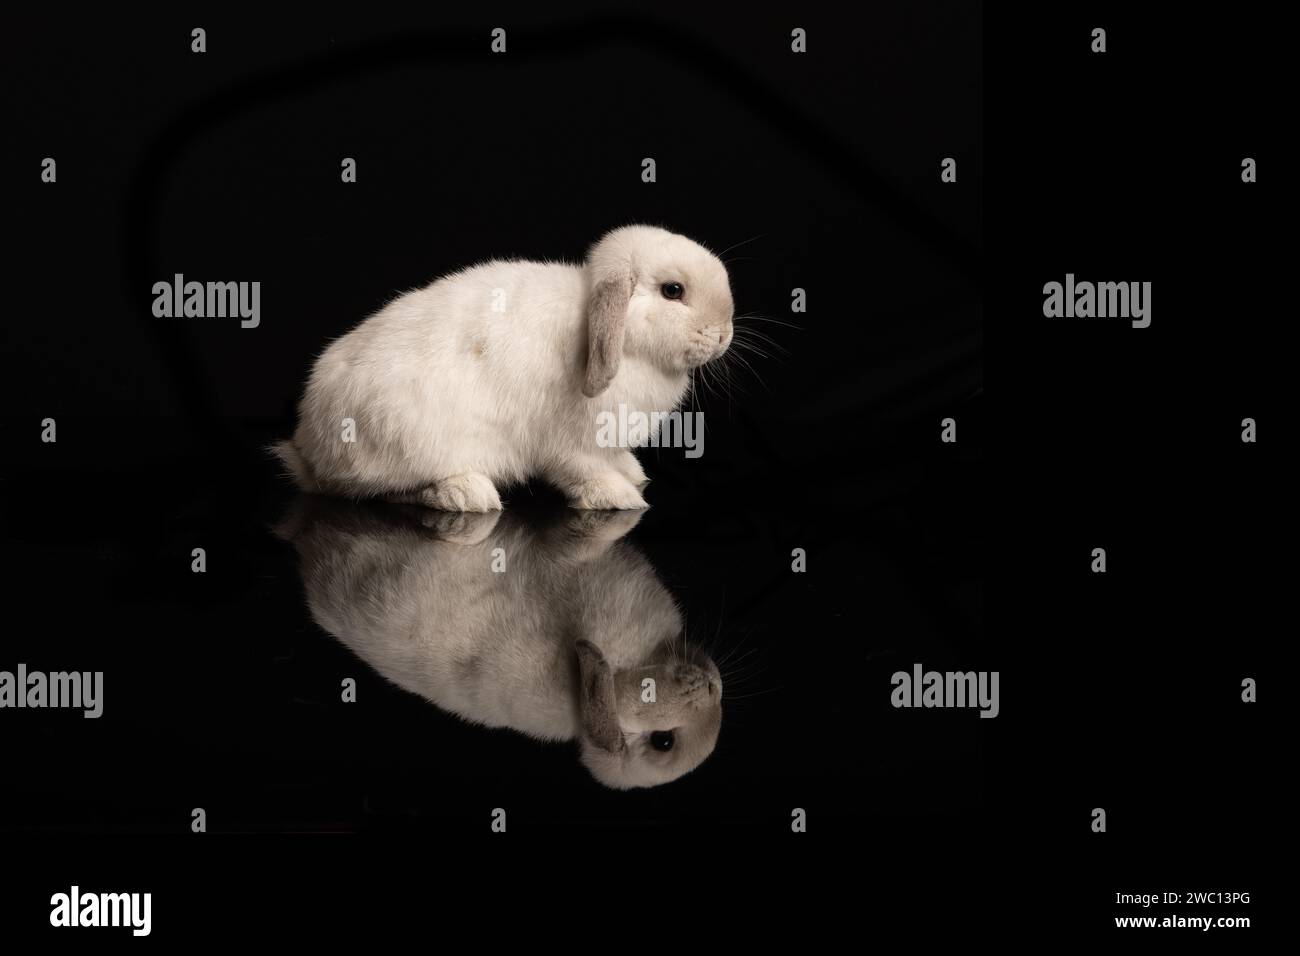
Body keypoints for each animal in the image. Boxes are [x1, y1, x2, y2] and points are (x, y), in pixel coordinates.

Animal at [272, 225, 735, 511]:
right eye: (673, 291)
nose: (724, 335)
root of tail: (308, 448)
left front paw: (633, 474)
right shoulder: (568, 444)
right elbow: (581, 471)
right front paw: (619, 496)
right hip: (407, 441)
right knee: (387, 492)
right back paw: (466, 493)